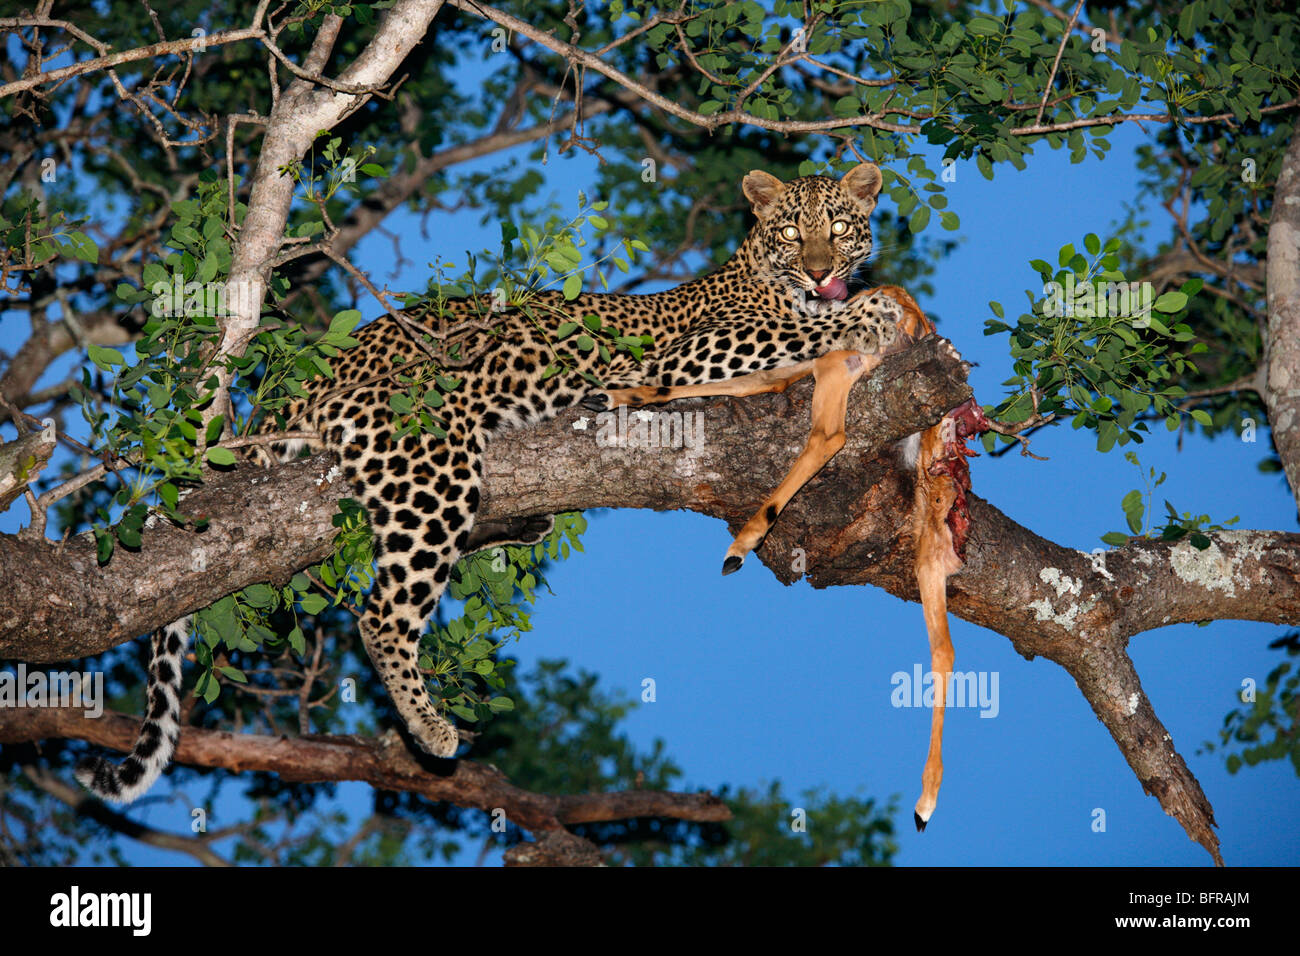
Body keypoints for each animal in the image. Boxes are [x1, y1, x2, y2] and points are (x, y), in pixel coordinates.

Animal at [77, 162, 964, 823]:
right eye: (790, 230)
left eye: (839, 227)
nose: (820, 267)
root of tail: (303, 383)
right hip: (427, 461)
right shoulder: (685, 353)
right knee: (381, 612)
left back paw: (526, 524)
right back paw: (433, 730)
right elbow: (806, 328)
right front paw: (878, 314)